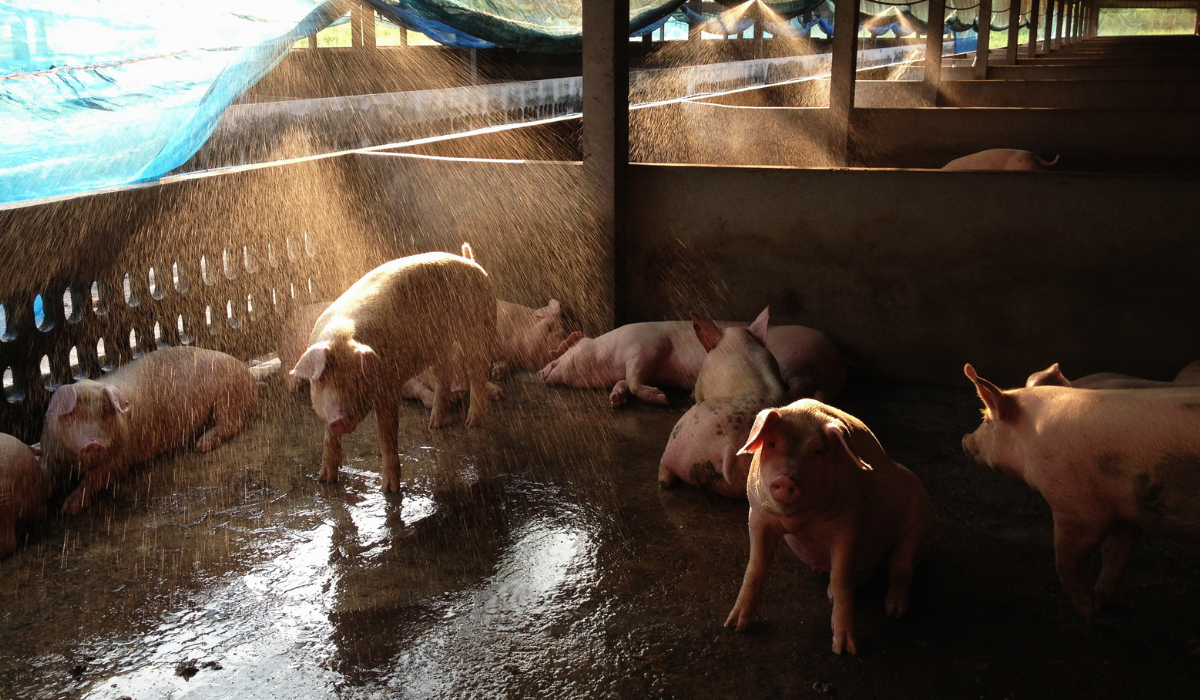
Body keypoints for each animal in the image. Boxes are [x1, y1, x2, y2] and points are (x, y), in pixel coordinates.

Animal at [40, 346, 257, 516]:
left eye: (104, 412)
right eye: (72, 415)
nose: (93, 443)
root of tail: (245, 370)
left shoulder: (121, 458)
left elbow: (95, 477)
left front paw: (68, 509)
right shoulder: (50, 452)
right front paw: (60, 507)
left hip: (227, 394)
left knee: (232, 422)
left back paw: (201, 445)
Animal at [290, 248, 496, 492]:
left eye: (357, 379)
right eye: (322, 379)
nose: (341, 419)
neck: (342, 336)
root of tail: (471, 262)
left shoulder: (388, 389)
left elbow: (386, 437)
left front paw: (390, 490)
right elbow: (329, 437)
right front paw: (325, 480)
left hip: (478, 326)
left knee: (476, 372)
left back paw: (471, 422)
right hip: (437, 344)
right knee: (443, 375)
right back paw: (433, 425)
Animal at [726, 400, 934, 654]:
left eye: (818, 451)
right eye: (772, 443)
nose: (785, 480)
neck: (800, 522)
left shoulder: (849, 527)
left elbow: (841, 578)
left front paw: (845, 650)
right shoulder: (757, 515)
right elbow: (755, 567)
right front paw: (735, 626)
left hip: (918, 526)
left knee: (901, 568)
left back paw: (894, 611)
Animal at [963, 364, 1200, 617]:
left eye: (987, 420)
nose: (964, 440)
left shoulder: (1076, 505)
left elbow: (1066, 560)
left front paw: (1090, 610)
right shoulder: (1126, 507)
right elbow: (1115, 552)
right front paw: (1106, 599)